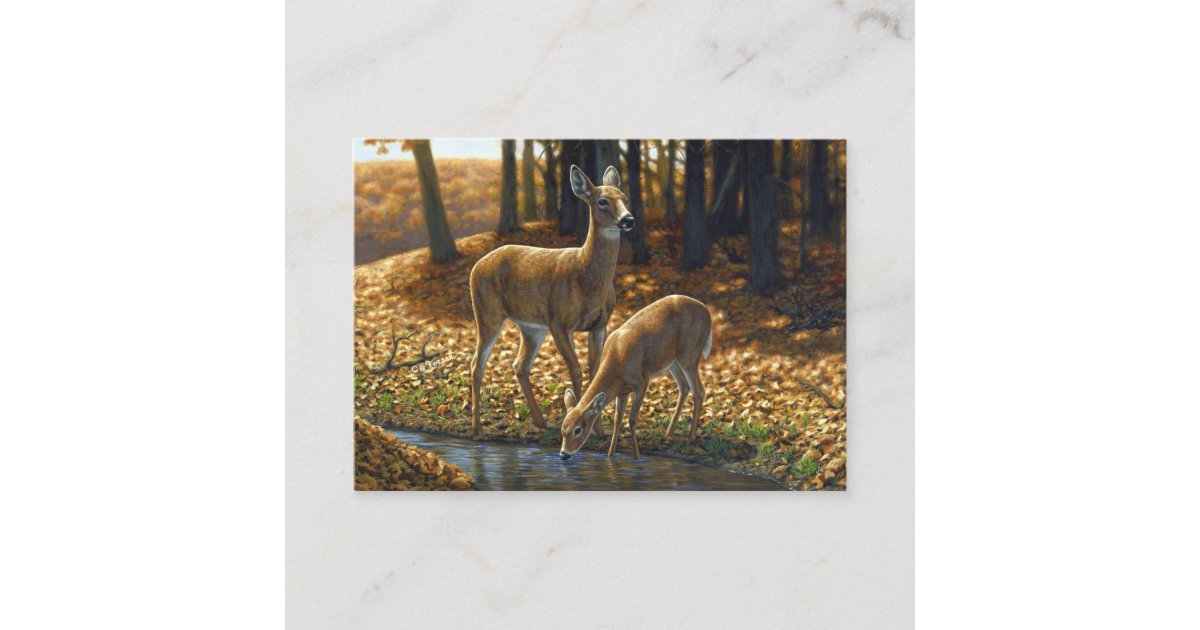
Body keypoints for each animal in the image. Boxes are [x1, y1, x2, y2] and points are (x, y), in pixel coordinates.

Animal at [468, 164, 634, 438]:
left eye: (625, 198)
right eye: (602, 201)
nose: (628, 219)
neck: (587, 279)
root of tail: (475, 266)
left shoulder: (599, 324)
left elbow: (595, 372)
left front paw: (599, 431)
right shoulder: (559, 322)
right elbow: (576, 371)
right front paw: (585, 428)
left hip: (531, 327)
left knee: (519, 366)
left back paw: (540, 421)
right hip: (487, 312)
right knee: (476, 365)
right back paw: (478, 430)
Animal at [557, 295, 713, 460]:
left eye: (578, 430)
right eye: (562, 429)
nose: (564, 454)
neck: (617, 360)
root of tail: (707, 312)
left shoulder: (641, 381)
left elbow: (632, 419)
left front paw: (637, 456)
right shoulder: (622, 391)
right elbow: (617, 419)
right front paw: (610, 455)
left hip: (690, 353)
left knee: (699, 390)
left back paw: (691, 437)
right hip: (673, 361)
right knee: (684, 386)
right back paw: (669, 432)